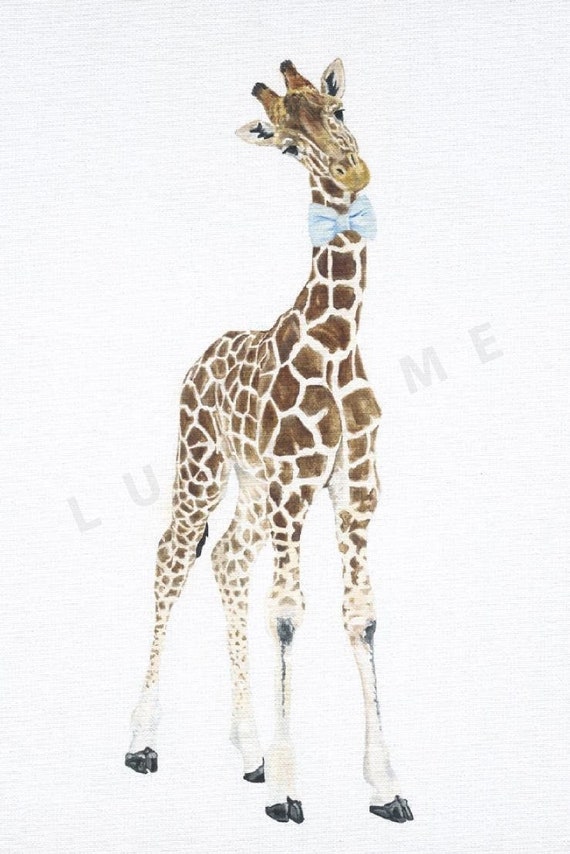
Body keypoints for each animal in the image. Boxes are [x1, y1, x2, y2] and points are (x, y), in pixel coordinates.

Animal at [125, 59, 413, 825]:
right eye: (285, 143)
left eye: (338, 108)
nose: (350, 170)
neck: (339, 338)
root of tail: (201, 357)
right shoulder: (294, 487)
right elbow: (286, 615)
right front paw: (290, 789)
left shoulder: (354, 491)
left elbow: (361, 619)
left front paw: (386, 787)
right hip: (203, 467)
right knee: (171, 558)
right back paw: (141, 742)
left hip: (254, 491)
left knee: (226, 559)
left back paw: (249, 752)